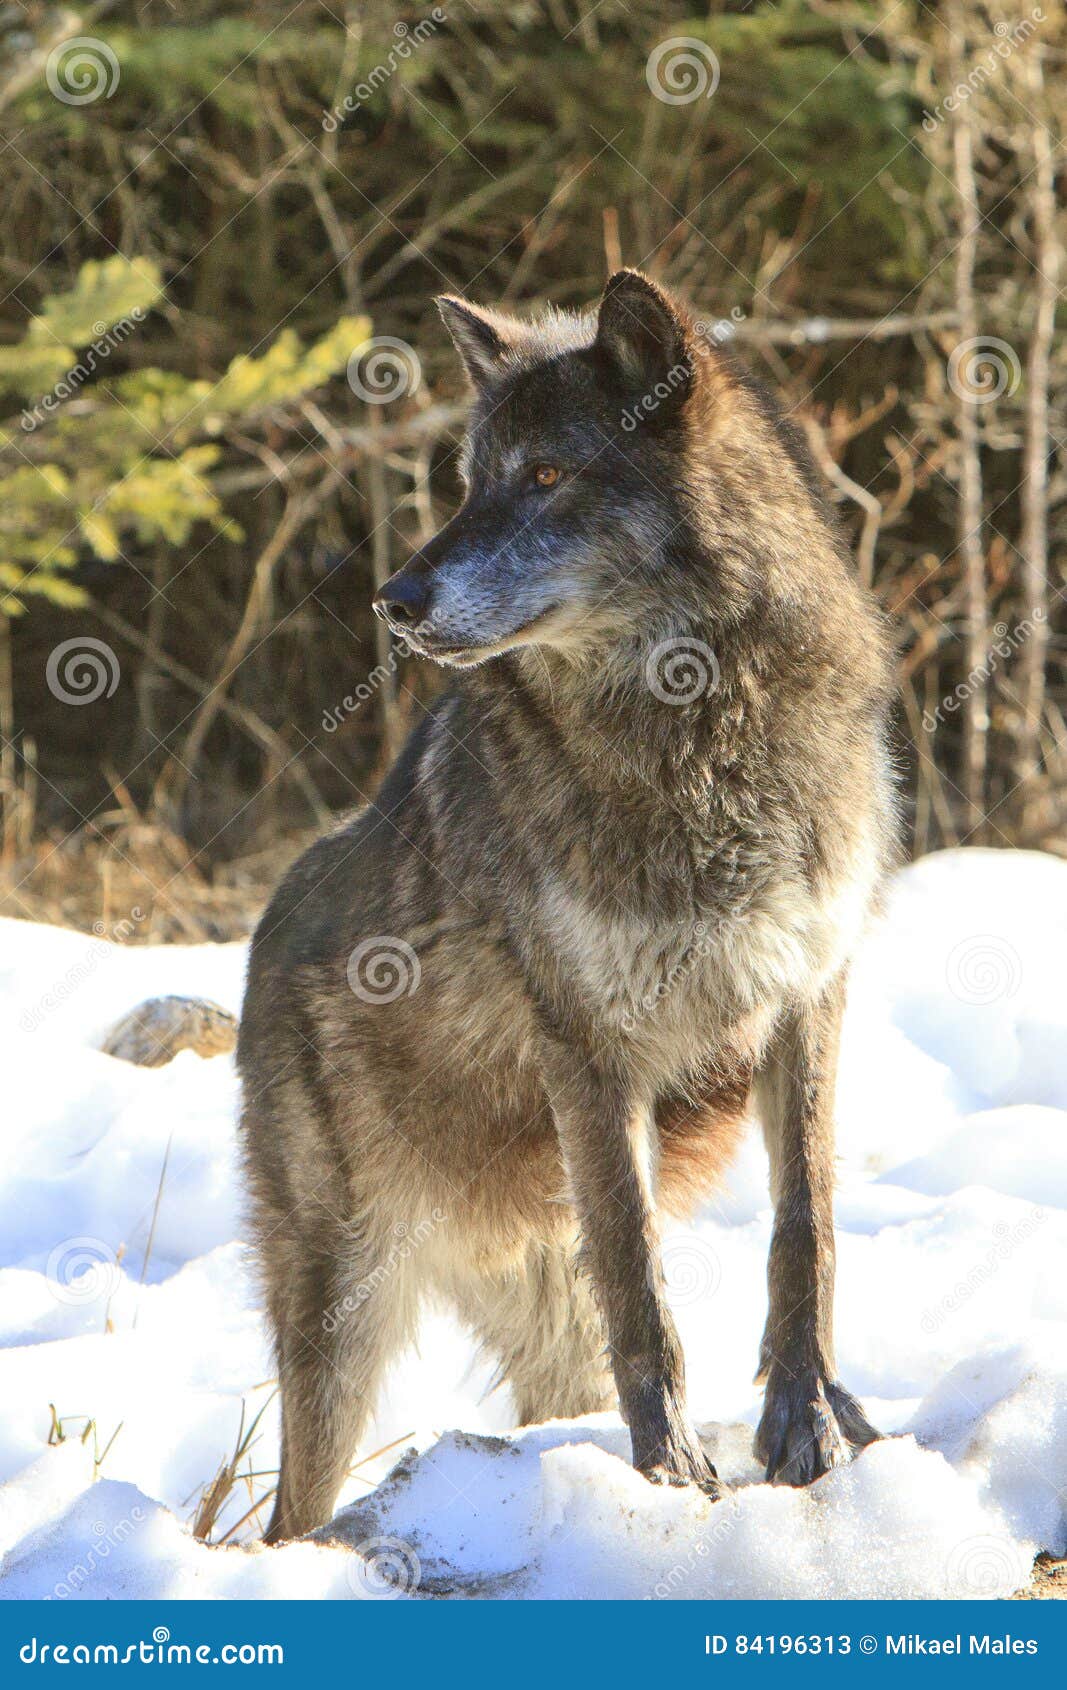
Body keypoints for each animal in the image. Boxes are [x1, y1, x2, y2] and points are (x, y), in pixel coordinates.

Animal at [238, 268, 896, 1543]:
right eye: (466, 480)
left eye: (545, 475)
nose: (394, 599)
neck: (694, 732)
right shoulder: (588, 1046)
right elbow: (640, 1283)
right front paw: (672, 1479)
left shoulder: (809, 999)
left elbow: (804, 1235)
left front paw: (805, 1424)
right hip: (341, 1325)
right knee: (287, 1512)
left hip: (531, 1312)